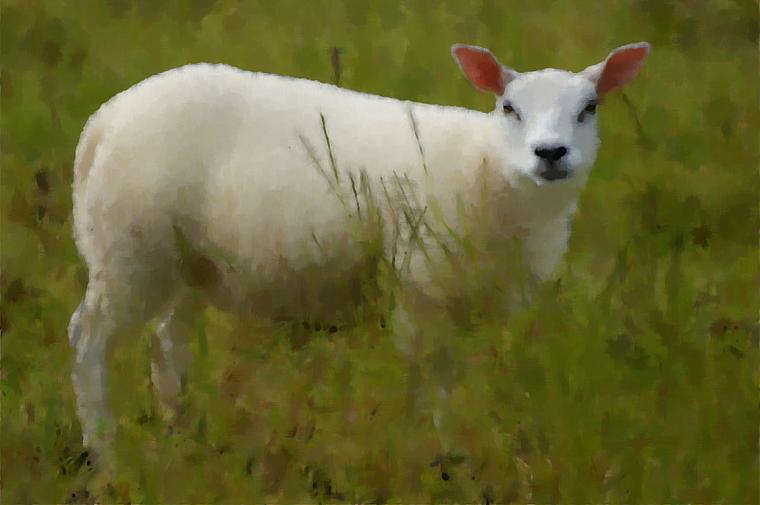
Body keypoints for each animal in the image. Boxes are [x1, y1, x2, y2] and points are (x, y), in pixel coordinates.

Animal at [68, 42, 650, 450]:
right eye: (509, 108)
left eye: (589, 108)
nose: (550, 153)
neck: (486, 166)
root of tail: (107, 118)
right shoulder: (420, 282)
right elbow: (430, 376)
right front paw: (438, 451)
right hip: (129, 250)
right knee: (88, 339)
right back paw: (104, 452)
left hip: (187, 262)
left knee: (168, 343)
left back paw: (183, 434)